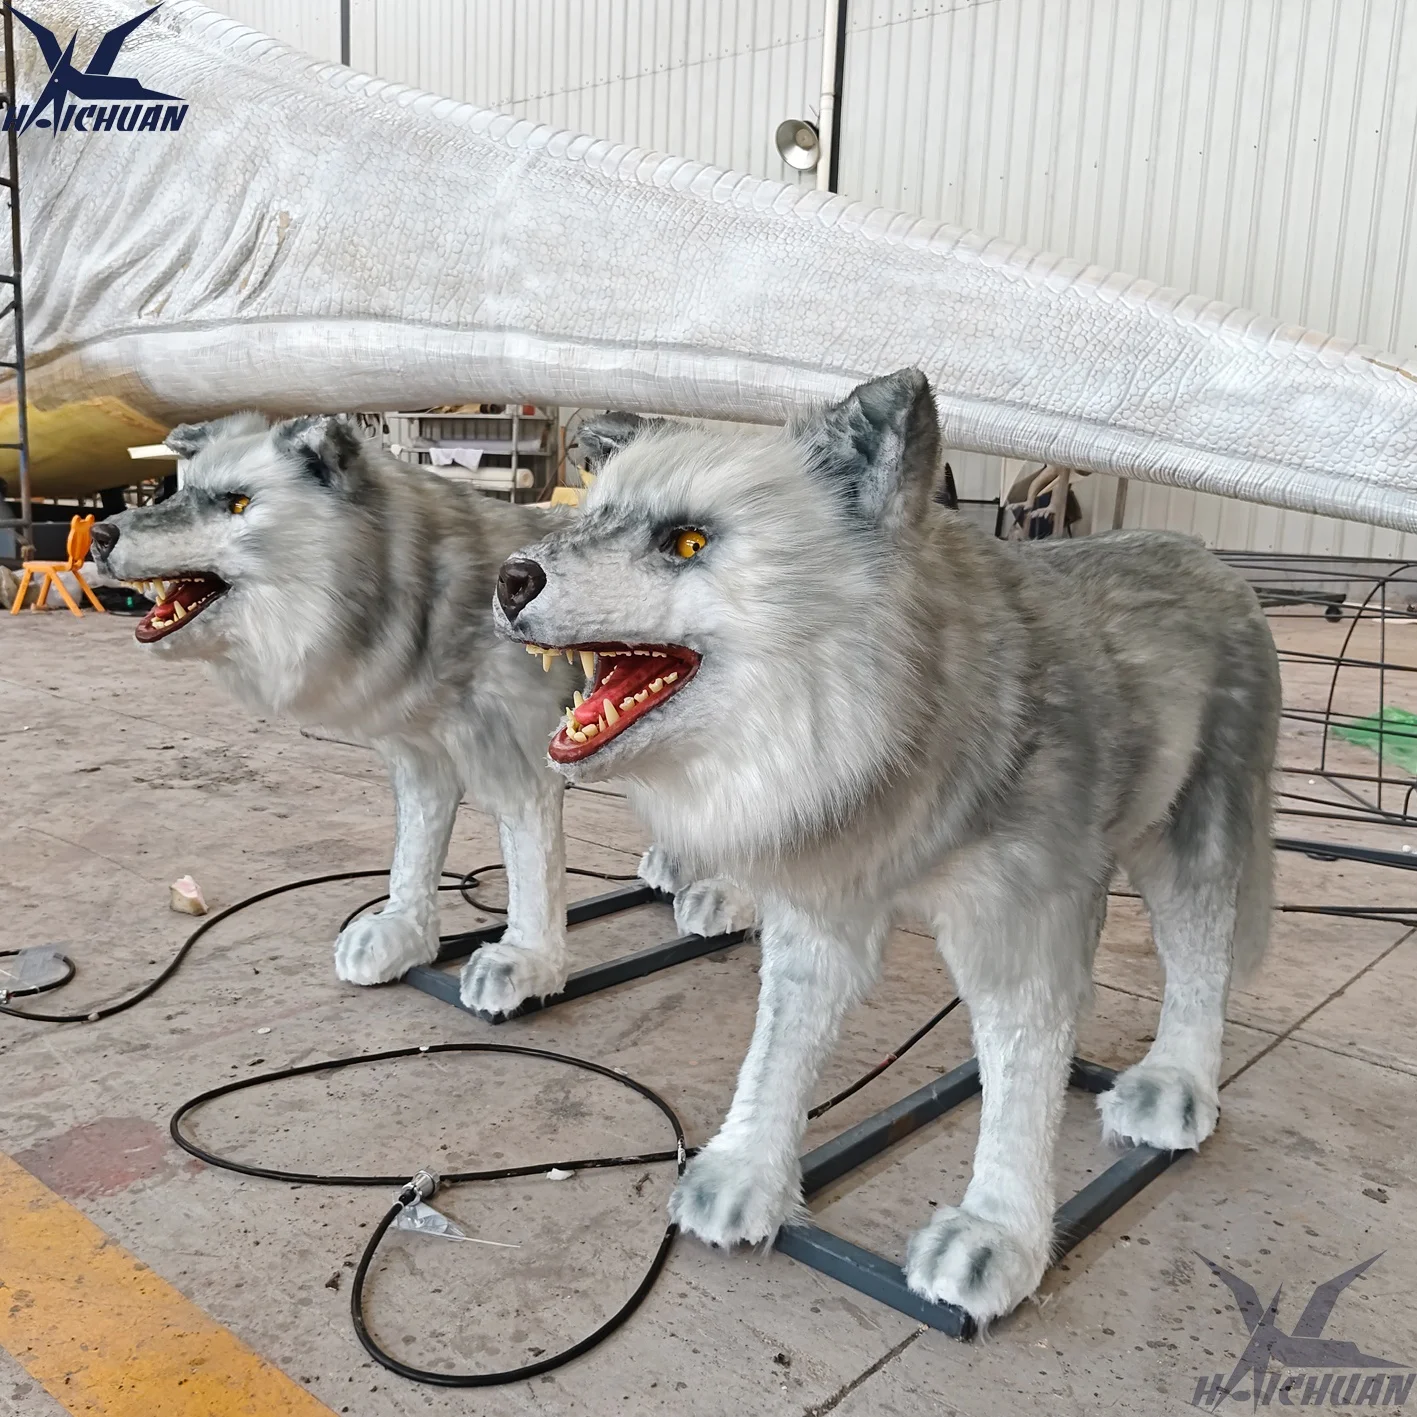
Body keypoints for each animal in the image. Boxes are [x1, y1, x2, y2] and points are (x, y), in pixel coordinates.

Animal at [87, 412, 746, 1017]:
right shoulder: (421, 760)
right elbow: (414, 854)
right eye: (175, 493)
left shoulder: (522, 771)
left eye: (237, 503)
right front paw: (402, 935)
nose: (99, 533)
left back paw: (724, 897)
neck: (427, 595)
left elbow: (532, 877)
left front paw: (525, 964)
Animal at [489, 369, 1280, 1326]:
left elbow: (1022, 1081)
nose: (509, 577)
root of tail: (1214, 561)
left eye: (686, 540)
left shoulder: (1023, 927)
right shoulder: (820, 914)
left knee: (1200, 966)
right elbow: (778, 1048)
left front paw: (998, 1237)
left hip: (1189, 845)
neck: (902, 721)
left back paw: (1175, 1089)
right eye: (594, 511)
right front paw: (747, 1175)